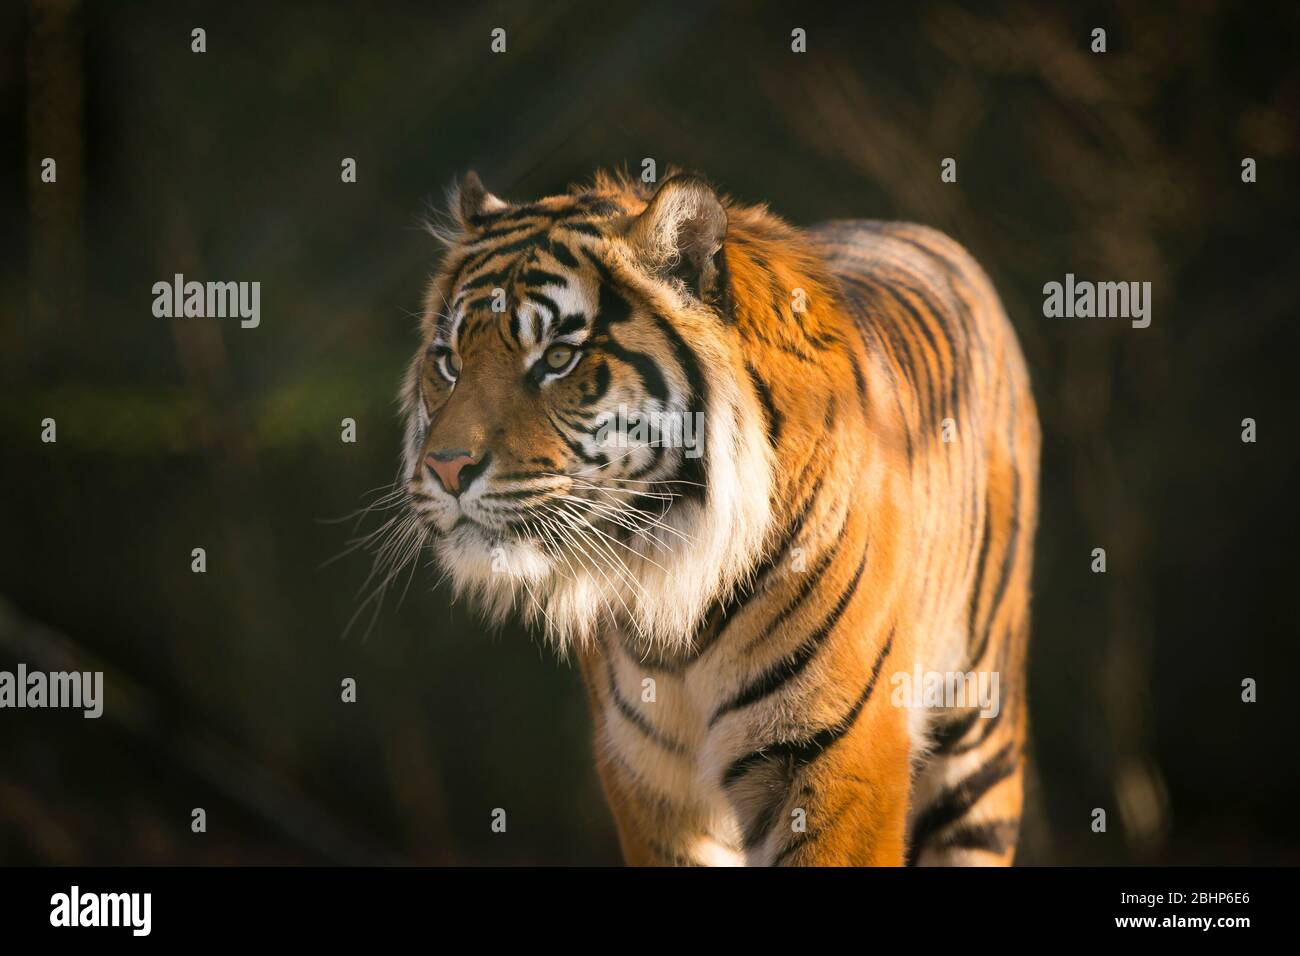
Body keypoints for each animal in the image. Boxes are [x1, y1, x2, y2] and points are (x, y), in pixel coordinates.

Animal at [400, 169, 1040, 866]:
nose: (446, 469)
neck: (668, 587)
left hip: (979, 745)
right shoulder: (648, 783)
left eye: (559, 358)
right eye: (449, 362)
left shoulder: (837, 761)